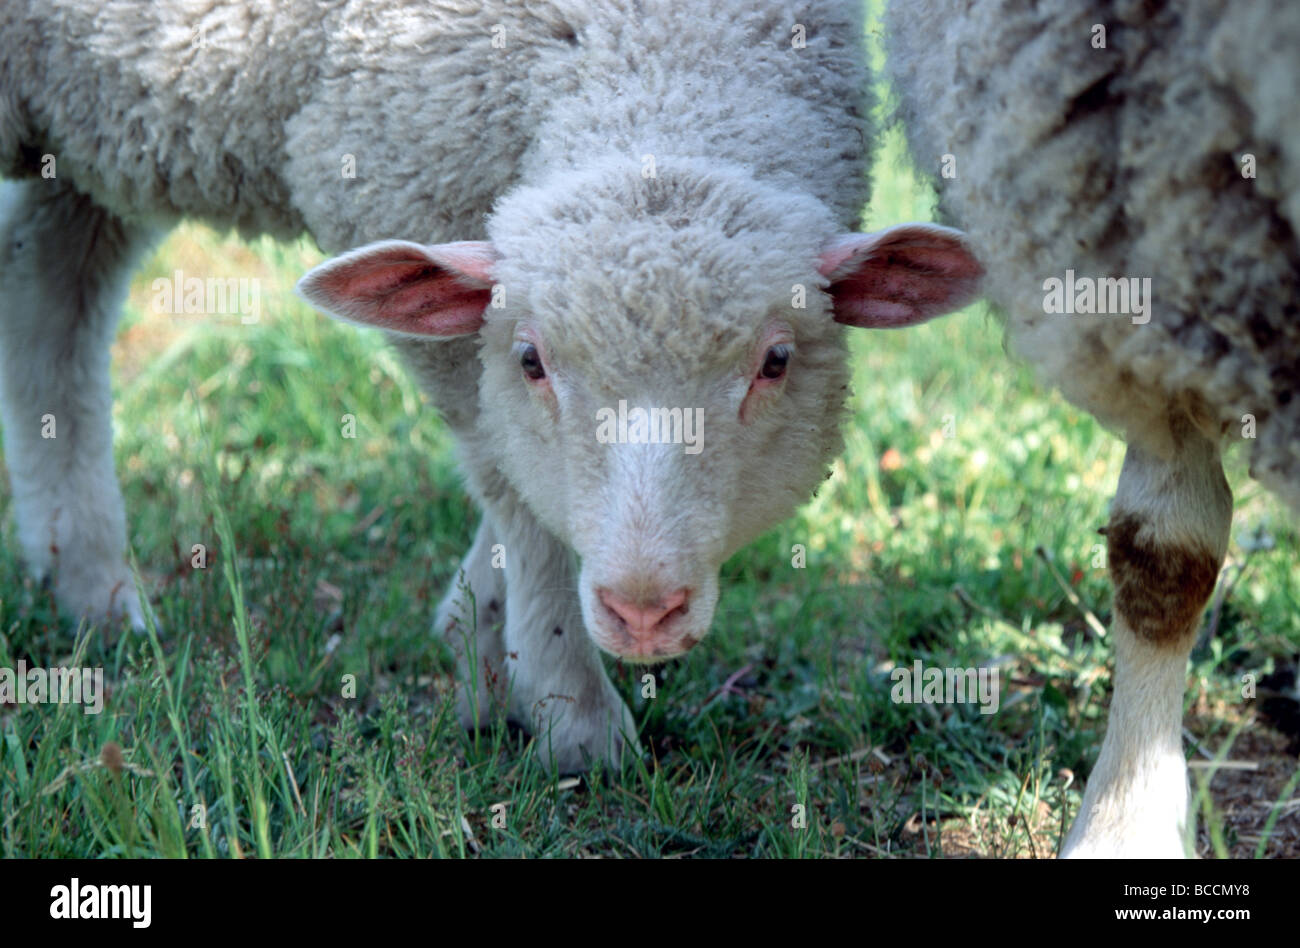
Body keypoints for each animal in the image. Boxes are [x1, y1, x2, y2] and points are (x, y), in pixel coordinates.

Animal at [1, 1, 983, 772]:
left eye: (776, 361)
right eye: (533, 361)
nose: (642, 609)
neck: (658, 44)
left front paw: (476, 641)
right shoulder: (402, 193)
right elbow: (509, 478)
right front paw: (567, 713)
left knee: (45, 282)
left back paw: (91, 588)